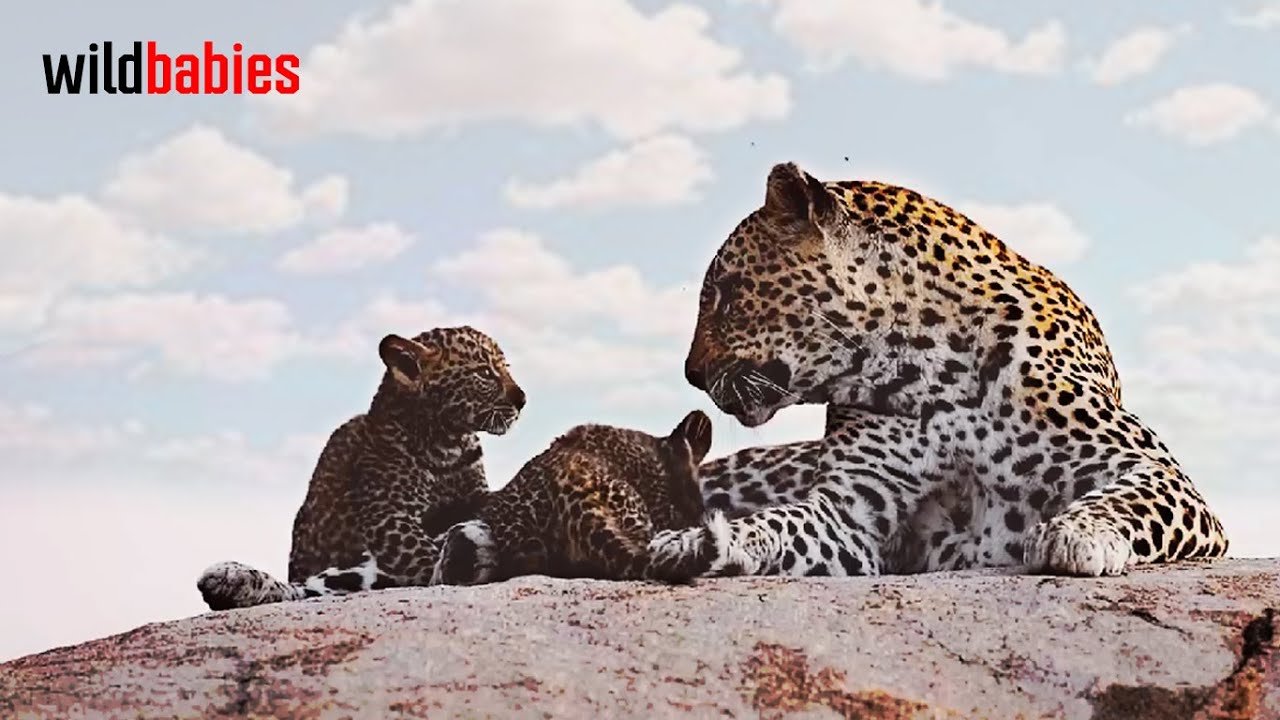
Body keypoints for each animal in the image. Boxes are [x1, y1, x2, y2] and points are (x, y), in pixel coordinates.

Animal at [196, 326, 525, 610]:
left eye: (506, 368)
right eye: (484, 373)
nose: (522, 399)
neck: (448, 442)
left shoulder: (475, 495)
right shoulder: (389, 516)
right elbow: (420, 553)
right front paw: (448, 565)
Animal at [648, 161, 1229, 580]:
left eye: (724, 293)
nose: (691, 373)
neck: (927, 369)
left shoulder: (1155, 469)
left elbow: (1126, 499)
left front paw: (1075, 533)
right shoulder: (849, 517)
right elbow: (775, 521)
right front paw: (694, 542)